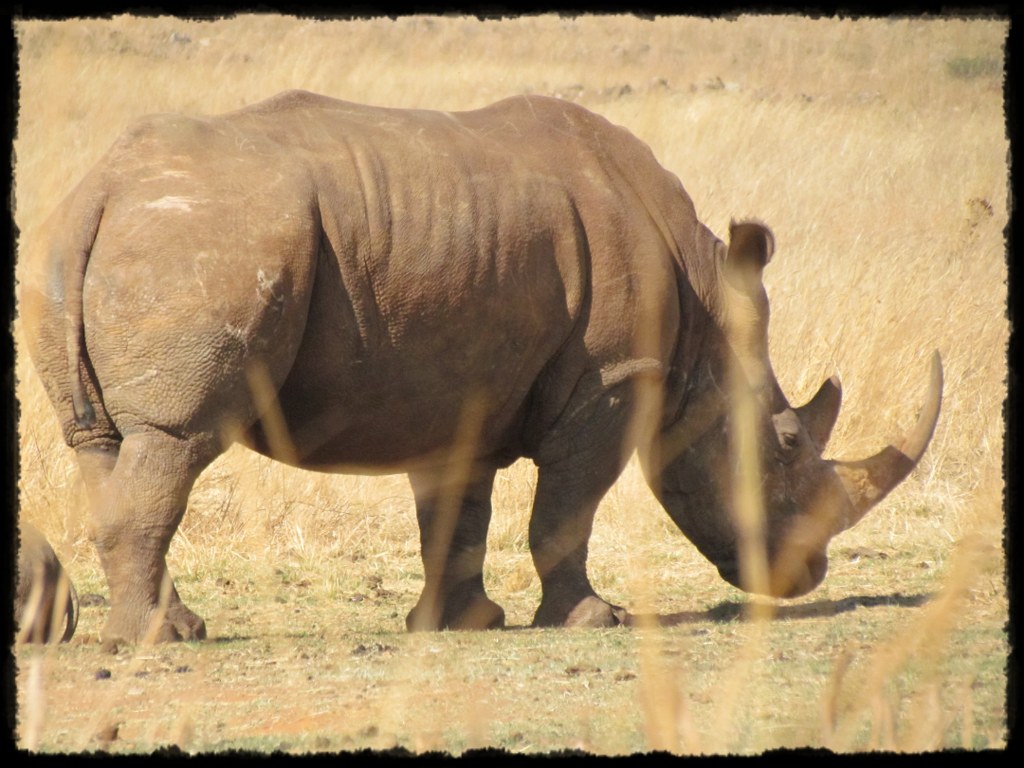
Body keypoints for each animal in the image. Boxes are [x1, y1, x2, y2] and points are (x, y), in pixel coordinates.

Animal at [20, 90, 941, 644]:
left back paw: (177, 628)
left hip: (78, 249)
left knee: (106, 446)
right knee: (177, 440)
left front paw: (462, 624)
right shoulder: (619, 375)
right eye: (786, 445)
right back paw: (156, 642)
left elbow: (455, 515)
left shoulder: (454, 387)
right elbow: (565, 511)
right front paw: (592, 620)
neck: (707, 319)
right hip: (201, 241)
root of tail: (102, 189)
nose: (805, 576)